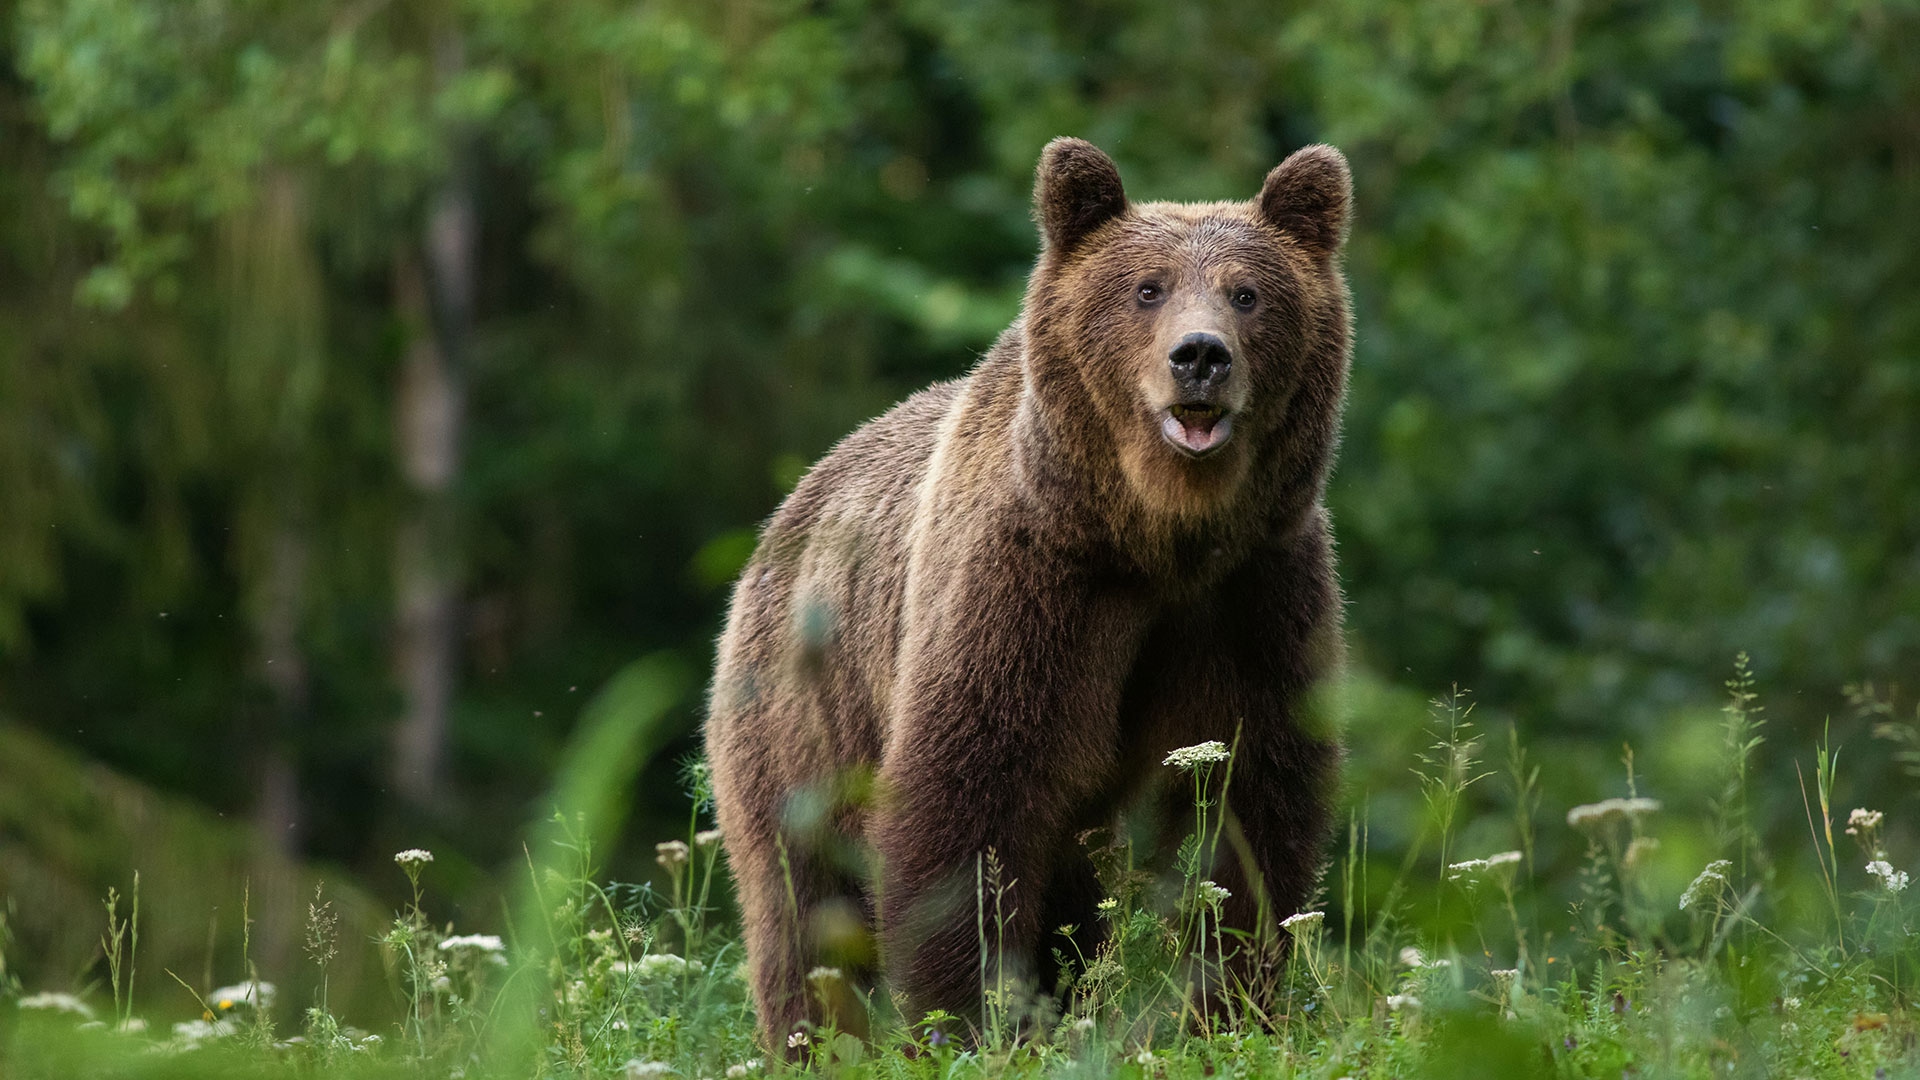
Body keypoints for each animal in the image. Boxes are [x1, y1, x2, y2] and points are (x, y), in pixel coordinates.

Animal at [704, 136, 1352, 1052]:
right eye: (1147, 288)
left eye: (1248, 293)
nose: (1201, 356)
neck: (1155, 538)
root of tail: (785, 514)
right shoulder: (1031, 587)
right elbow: (972, 796)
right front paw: (972, 1017)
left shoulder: (1252, 594)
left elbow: (1248, 803)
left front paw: (1227, 1007)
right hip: (802, 716)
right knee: (805, 903)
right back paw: (817, 1040)